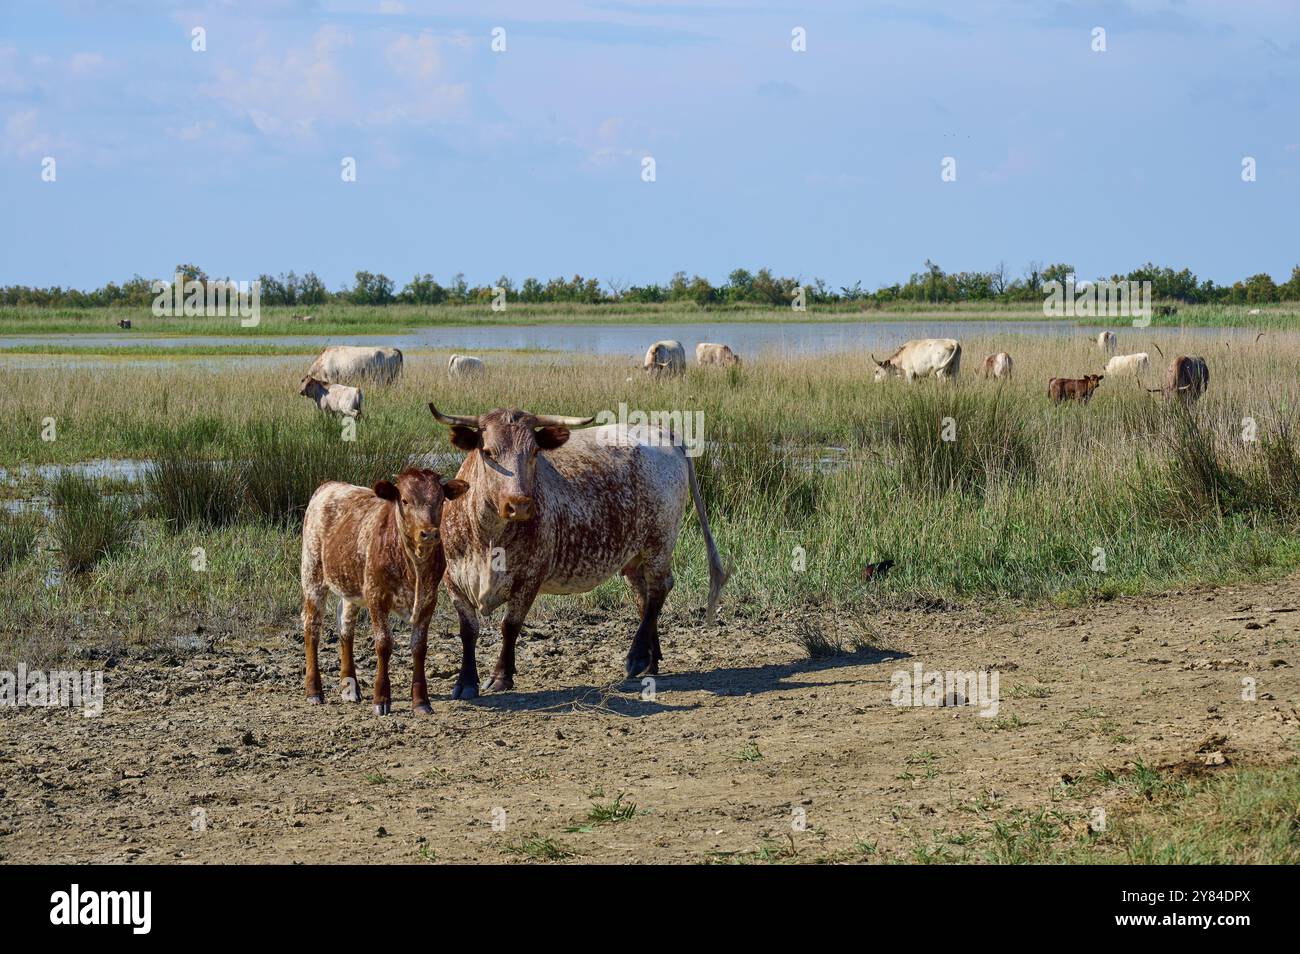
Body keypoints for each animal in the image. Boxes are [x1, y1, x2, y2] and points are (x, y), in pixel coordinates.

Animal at [300, 468, 468, 715]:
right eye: (405, 500)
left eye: (440, 501)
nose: (429, 533)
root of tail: (330, 485)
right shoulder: (376, 596)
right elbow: (383, 644)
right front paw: (381, 699)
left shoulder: (429, 599)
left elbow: (419, 647)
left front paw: (421, 701)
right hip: (312, 574)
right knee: (312, 626)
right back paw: (314, 691)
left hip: (351, 585)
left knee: (345, 626)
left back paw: (350, 687)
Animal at [427, 404, 729, 700]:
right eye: (488, 452)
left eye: (534, 452)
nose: (520, 504)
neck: (489, 537)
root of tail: (659, 429)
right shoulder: (453, 579)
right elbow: (468, 630)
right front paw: (466, 682)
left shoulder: (530, 577)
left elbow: (509, 625)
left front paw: (502, 676)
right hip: (635, 553)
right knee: (643, 595)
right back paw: (651, 660)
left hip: (660, 541)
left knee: (659, 589)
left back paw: (637, 656)